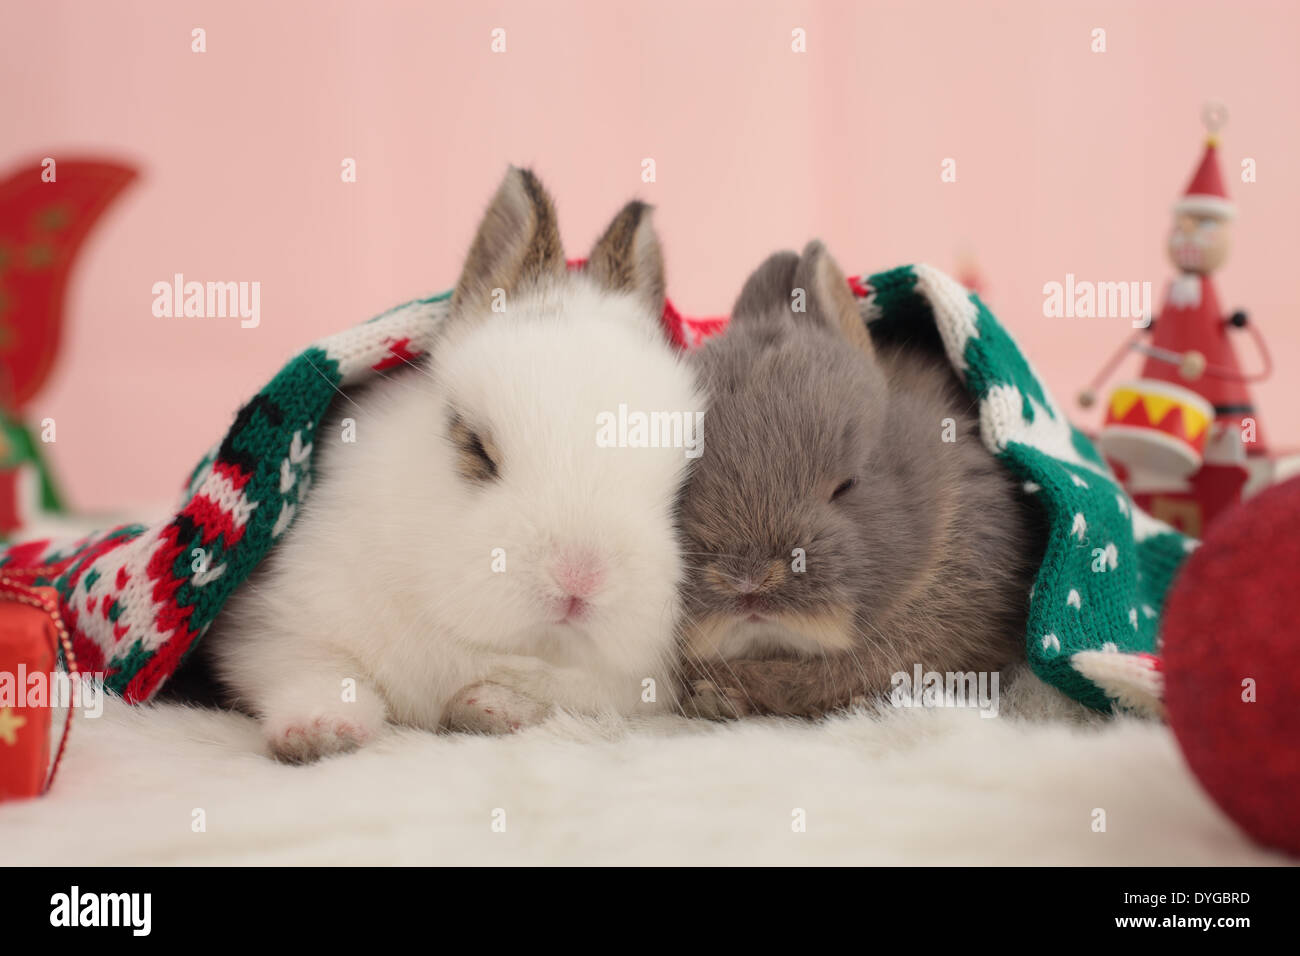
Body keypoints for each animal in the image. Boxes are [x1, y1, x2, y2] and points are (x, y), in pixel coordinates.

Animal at [209, 167, 703, 761]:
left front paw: (492, 709)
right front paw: (319, 730)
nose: (580, 579)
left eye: (681, 482)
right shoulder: (274, 624)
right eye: (475, 447)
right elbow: (316, 673)